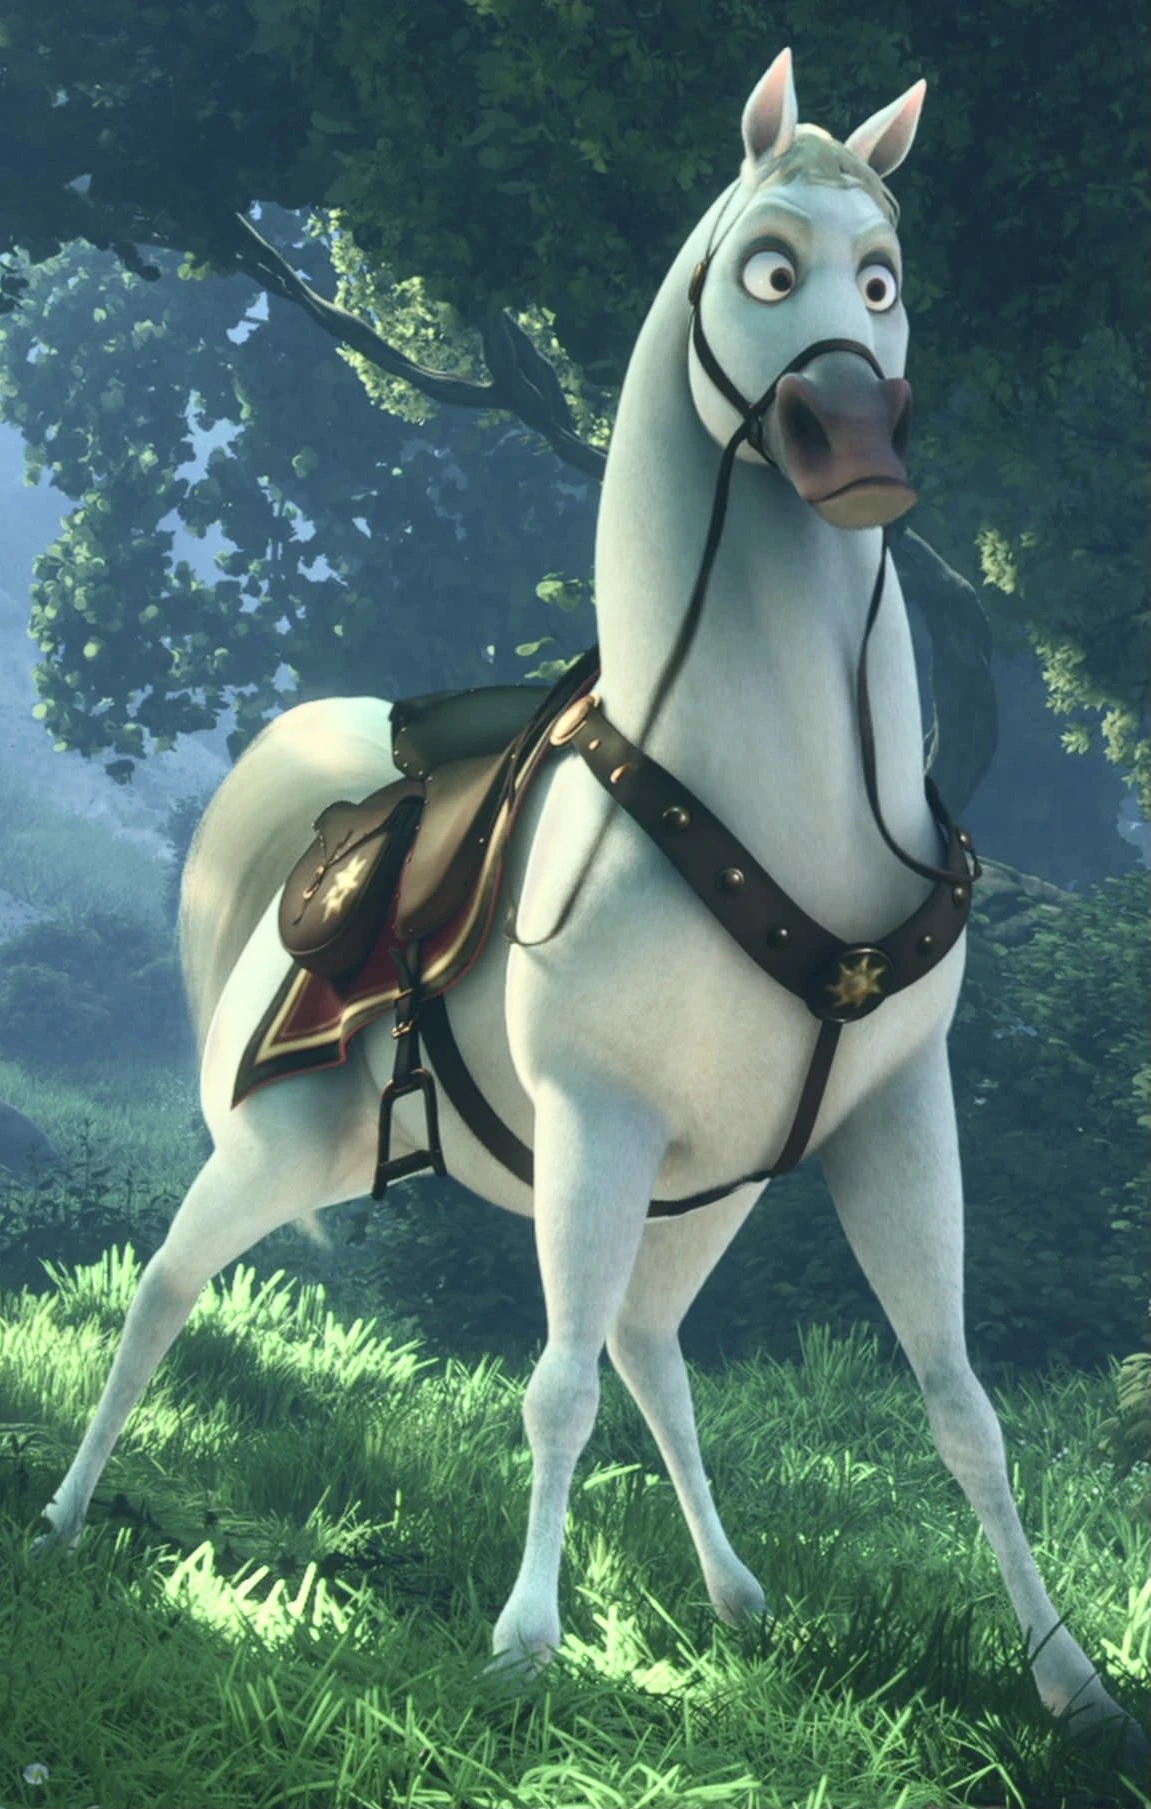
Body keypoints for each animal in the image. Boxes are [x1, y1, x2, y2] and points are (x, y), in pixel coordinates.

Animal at [35, 47, 1143, 1752]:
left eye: (883, 284)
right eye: (769, 270)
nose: (860, 454)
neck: (771, 805)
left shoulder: (897, 1119)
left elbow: (958, 1400)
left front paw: (1066, 1676)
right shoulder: (594, 1121)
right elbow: (546, 1384)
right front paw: (522, 1649)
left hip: (702, 1197)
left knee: (648, 1344)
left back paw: (738, 1597)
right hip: (294, 1148)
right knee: (167, 1289)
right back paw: (68, 1518)